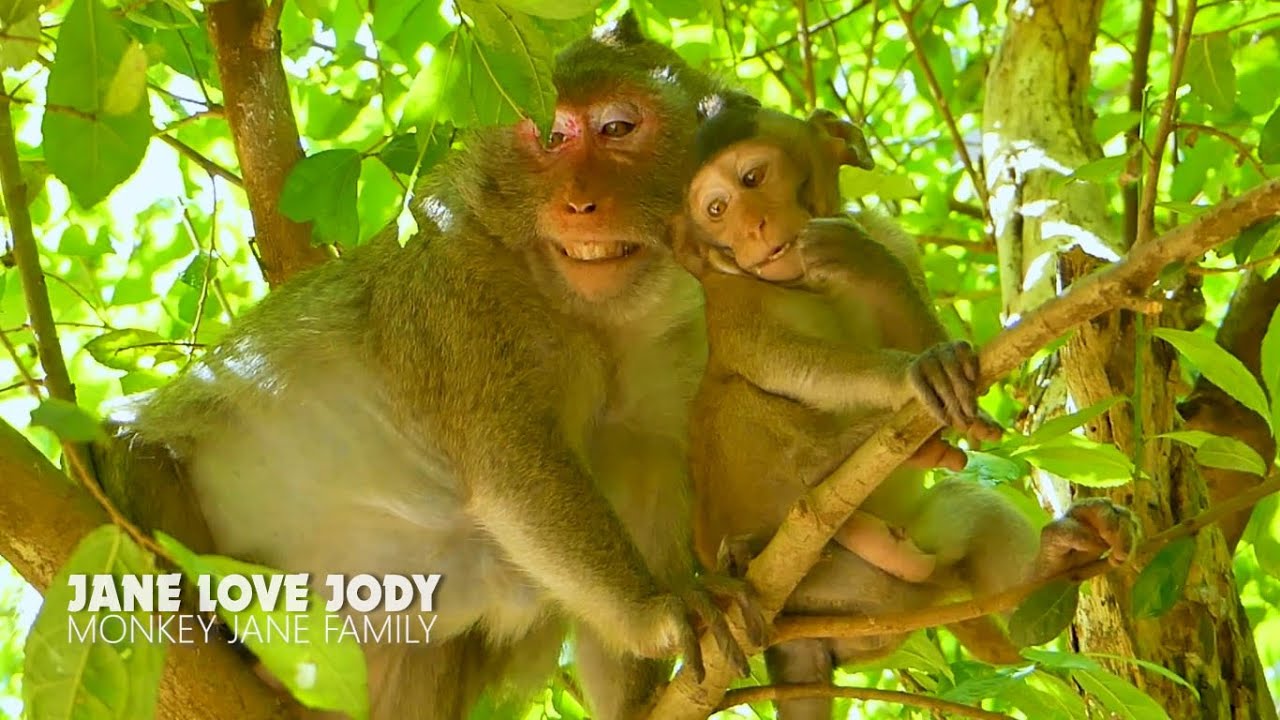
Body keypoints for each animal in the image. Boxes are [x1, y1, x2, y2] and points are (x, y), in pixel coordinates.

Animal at [101, 13, 761, 720]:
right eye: (553, 138)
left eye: (618, 128)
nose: (580, 204)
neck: (594, 322)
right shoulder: (457, 292)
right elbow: (512, 468)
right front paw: (656, 611)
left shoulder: (677, 359)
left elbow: (641, 488)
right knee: (130, 453)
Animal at [673, 98, 1139, 720]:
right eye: (717, 210)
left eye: (753, 178)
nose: (752, 227)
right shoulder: (726, 298)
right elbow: (786, 362)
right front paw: (912, 375)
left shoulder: (891, 237)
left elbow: (950, 360)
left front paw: (865, 264)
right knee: (730, 398)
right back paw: (814, 483)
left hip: (897, 602)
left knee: (969, 517)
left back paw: (1050, 559)